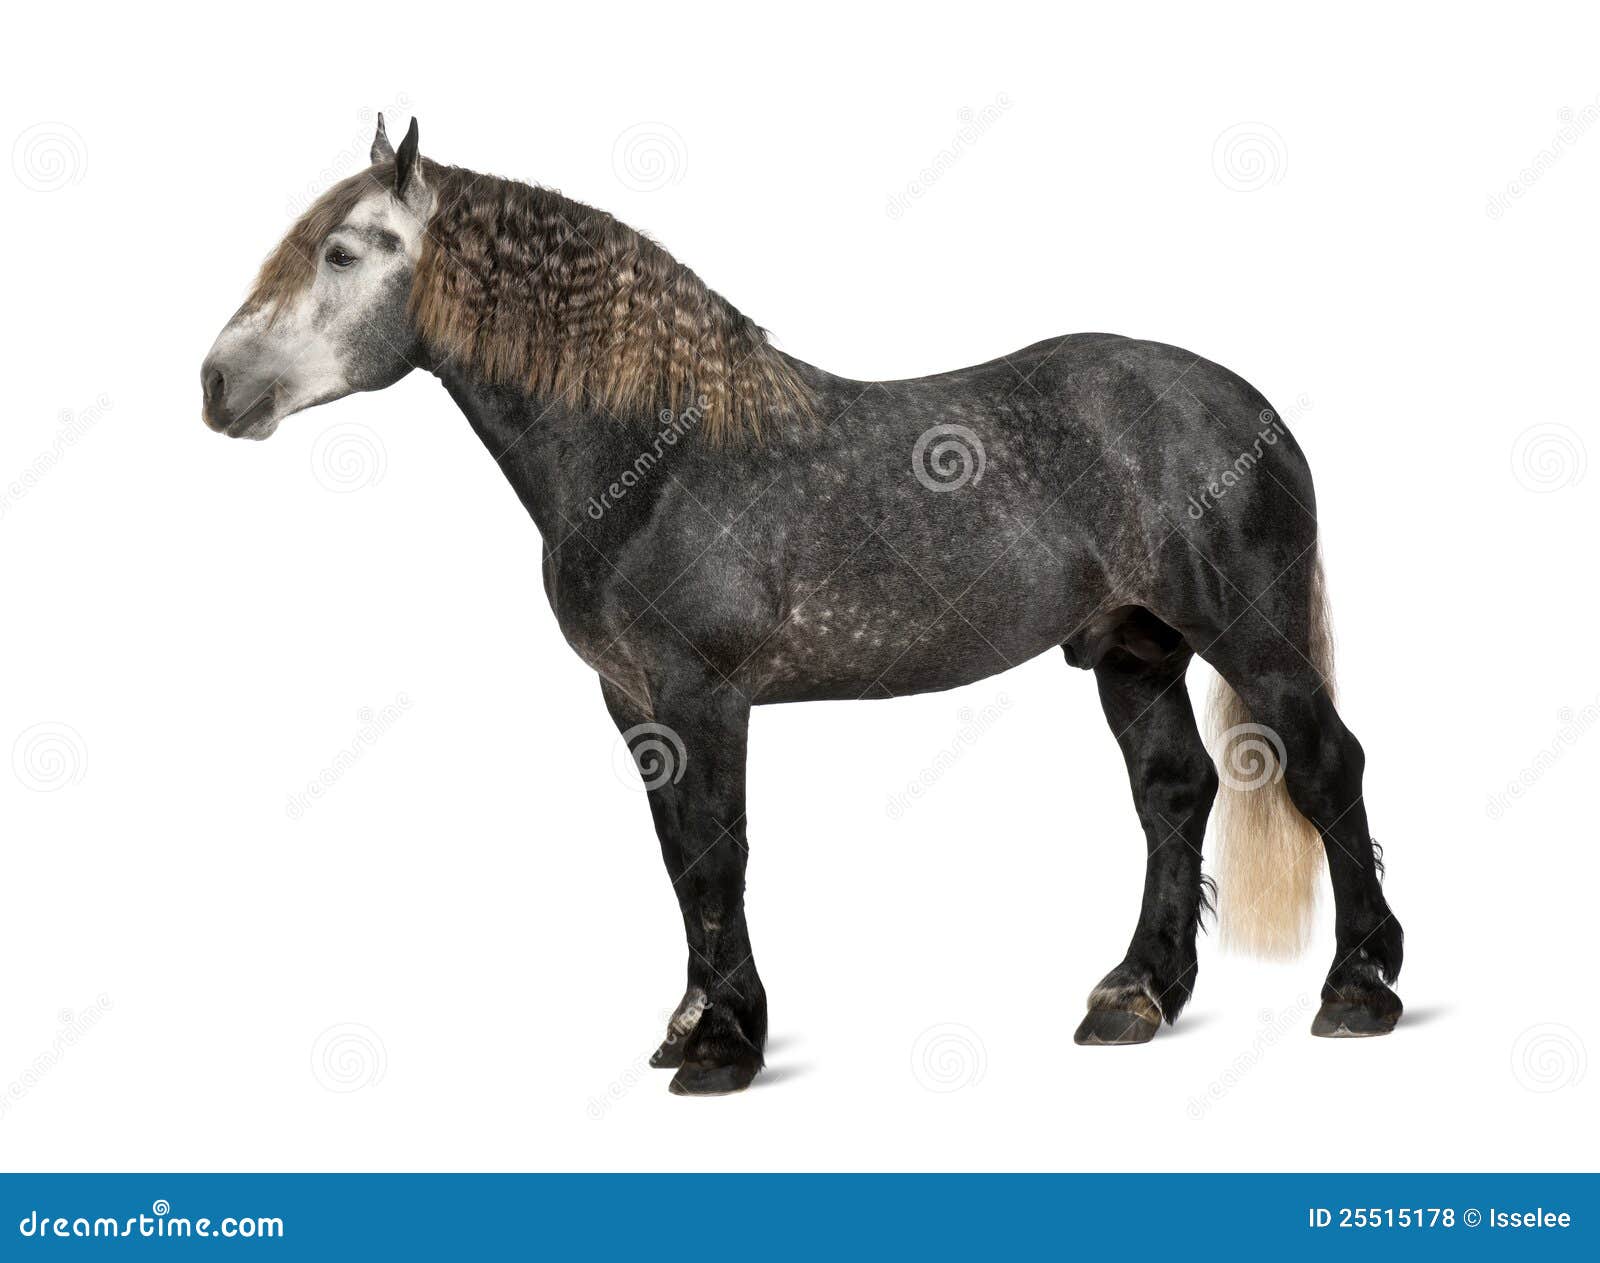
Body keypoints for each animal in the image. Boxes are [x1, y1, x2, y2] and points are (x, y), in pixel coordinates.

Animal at [201, 116, 1403, 1095]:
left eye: (343, 251)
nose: (217, 385)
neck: (653, 459)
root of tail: (1244, 405)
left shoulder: (704, 695)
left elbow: (720, 853)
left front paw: (725, 1047)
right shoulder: (633, 704)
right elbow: (679, 859)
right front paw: (688, 1025)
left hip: (1246, 635)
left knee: (1324, 765)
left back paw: (1357, 990)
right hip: (1132, 650)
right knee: (1174, 791)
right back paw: (1133, 997)